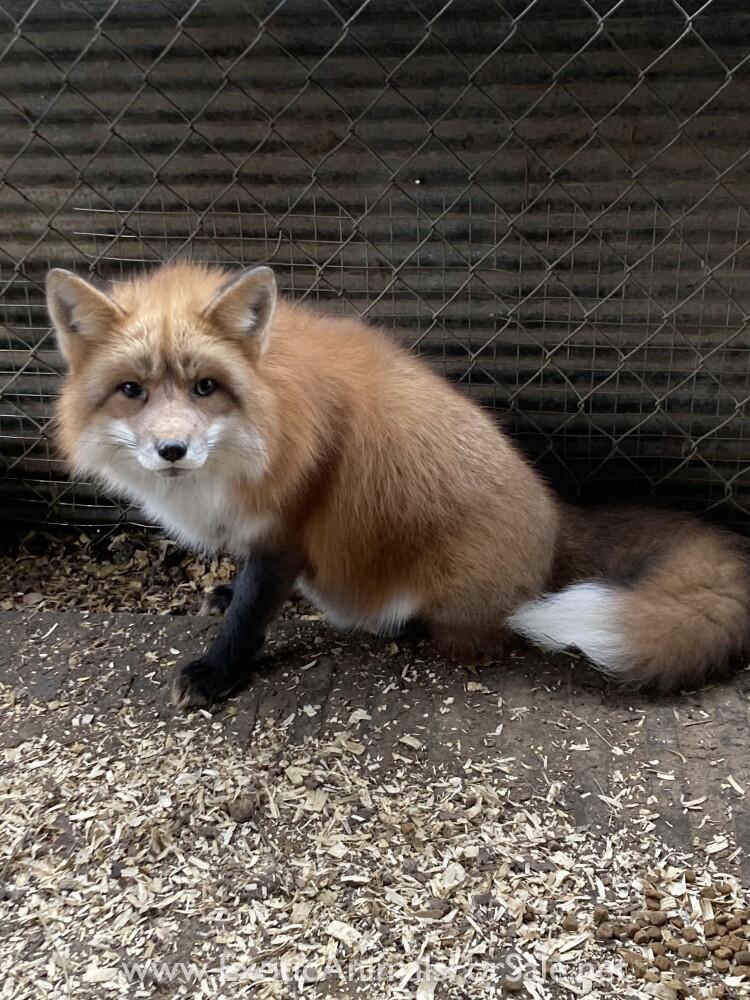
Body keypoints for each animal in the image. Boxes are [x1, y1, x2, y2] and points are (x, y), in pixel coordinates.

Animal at [46, 261, 750, 708]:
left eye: (205, 387)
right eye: (132, 390)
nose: (173, 450)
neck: (266, 422)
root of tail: (556, 518)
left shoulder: (289, 528)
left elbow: (250, 613)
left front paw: (220, 672)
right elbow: (247, 593)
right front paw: (226, 599)